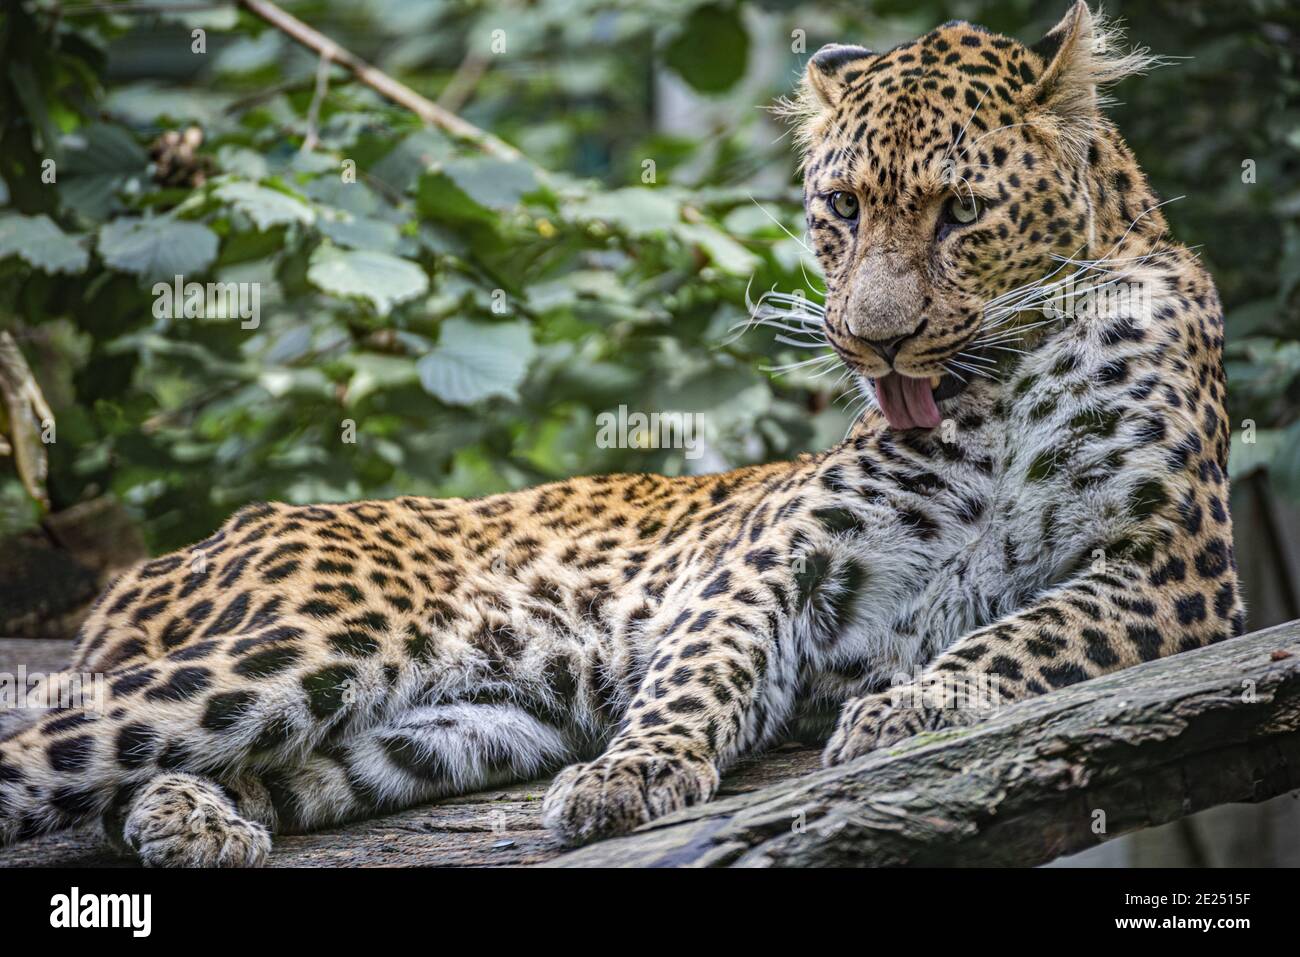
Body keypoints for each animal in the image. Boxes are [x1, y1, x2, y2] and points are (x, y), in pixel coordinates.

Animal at [0, 1, 1242, 866]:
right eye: (840, 209)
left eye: (960, 213)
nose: (873, 341)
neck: (1000, 386)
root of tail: (172, 555)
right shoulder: (774, 558)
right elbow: (702, 668)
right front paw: (632, 773)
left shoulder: (1172, 574)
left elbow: (1028, 635)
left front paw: (916, 703)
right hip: (312, 643)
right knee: (54, 745)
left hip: (439, 726)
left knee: (158, 782)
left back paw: (191, 821)